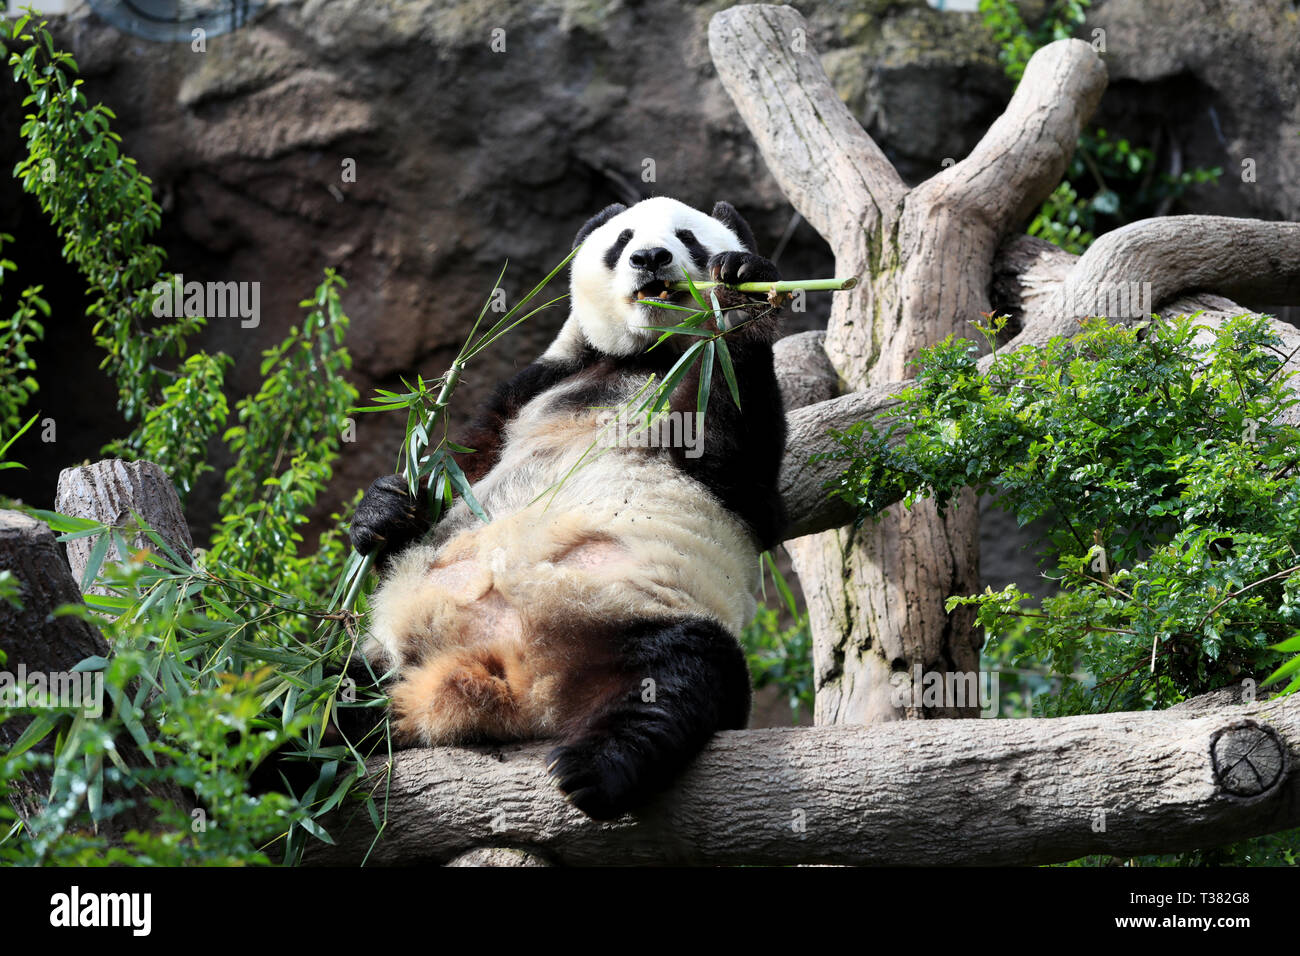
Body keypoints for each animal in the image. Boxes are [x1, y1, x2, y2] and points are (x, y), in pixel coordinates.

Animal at [349, 196, 787, 819]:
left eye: (688, 238)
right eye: (622, 239)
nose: (650, 258)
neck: (646, 355)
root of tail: (510, 678)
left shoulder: (716, 426)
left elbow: (744, 471)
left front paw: (742, 290)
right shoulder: (536, 383)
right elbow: (466, 470)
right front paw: (386, 510)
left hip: (643, 613)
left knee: (684, 674)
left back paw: (597, 768)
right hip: (387, 661)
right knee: (306, 691)